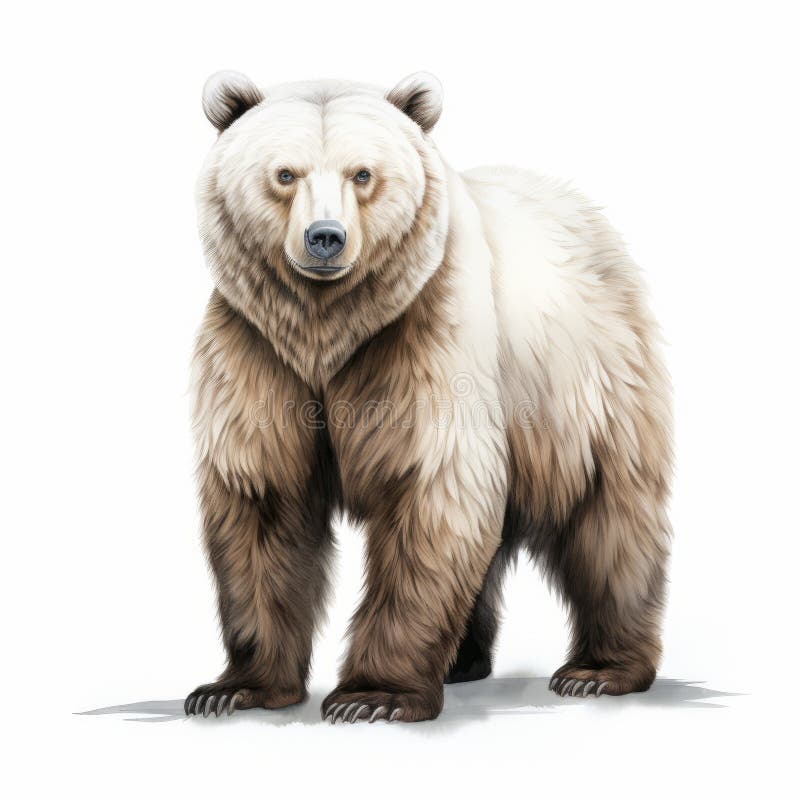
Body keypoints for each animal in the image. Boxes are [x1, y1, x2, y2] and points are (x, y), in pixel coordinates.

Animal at [184, 71, 672, 723]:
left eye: (362, 173)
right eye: (285, 173)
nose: (325, 238)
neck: (327, 331)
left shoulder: (424, 333)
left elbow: (431, 485)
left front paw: (372, 696)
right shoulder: (259, 353)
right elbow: (263, 496)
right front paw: (235, 688)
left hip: (589, 383)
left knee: (609, 518)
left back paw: (599, 670)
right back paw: (465, 660)